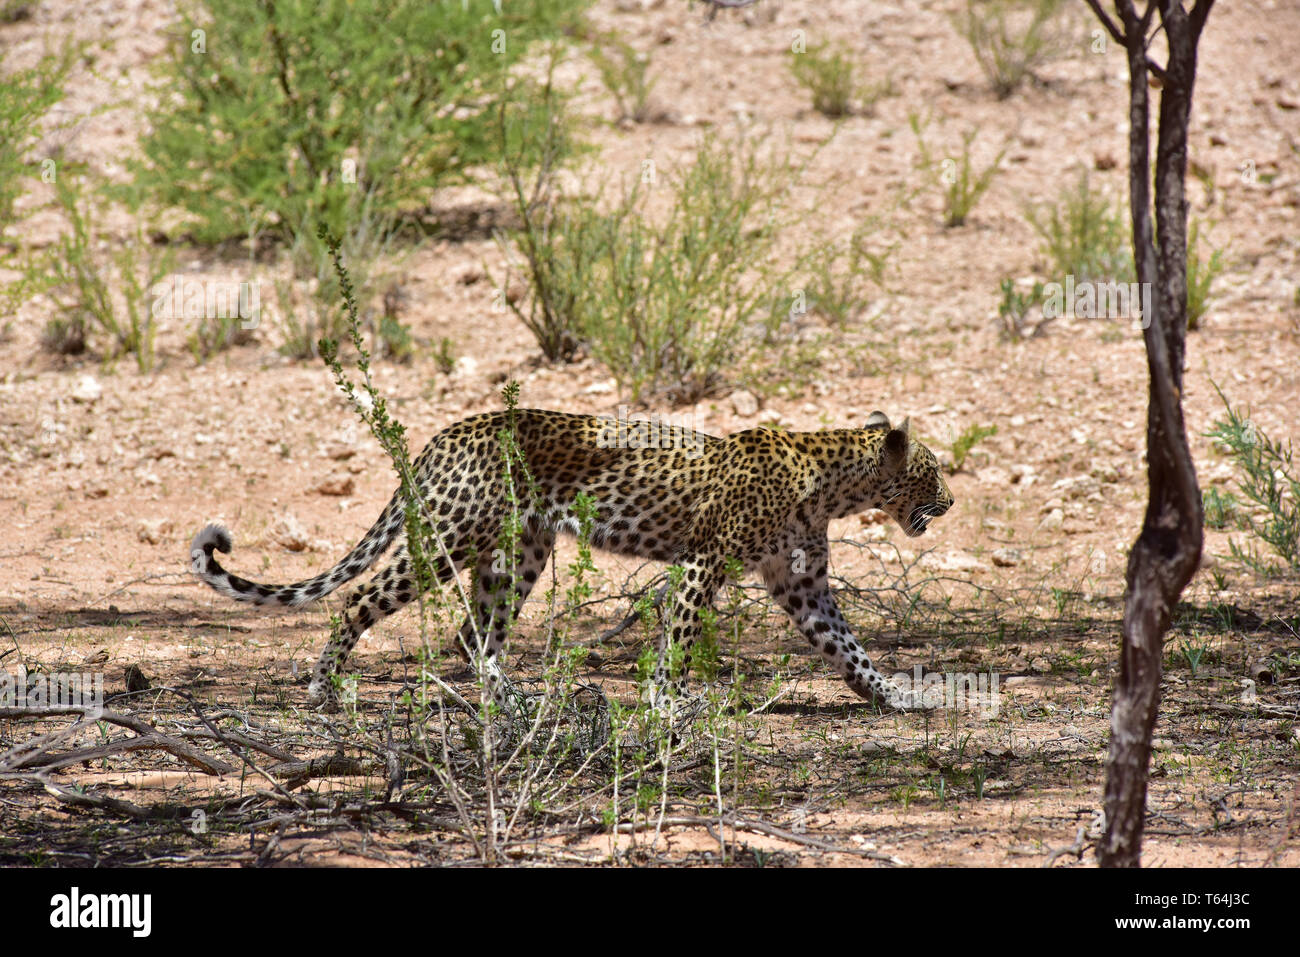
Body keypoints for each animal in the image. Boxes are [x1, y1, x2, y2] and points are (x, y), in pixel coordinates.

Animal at [189, 408, 954, 712]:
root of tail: (442, 436)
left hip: (519, 549)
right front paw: (666, 703)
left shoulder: (803, 585)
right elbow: (678, 639)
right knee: (358, 601)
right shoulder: (701, 564)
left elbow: (850, 649)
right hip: (447, 538)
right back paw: (323, 688)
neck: (832, 485)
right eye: (932, 470)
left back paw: (513, 701)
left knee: (474, 635)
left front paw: (898, 696)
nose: (949, 501)